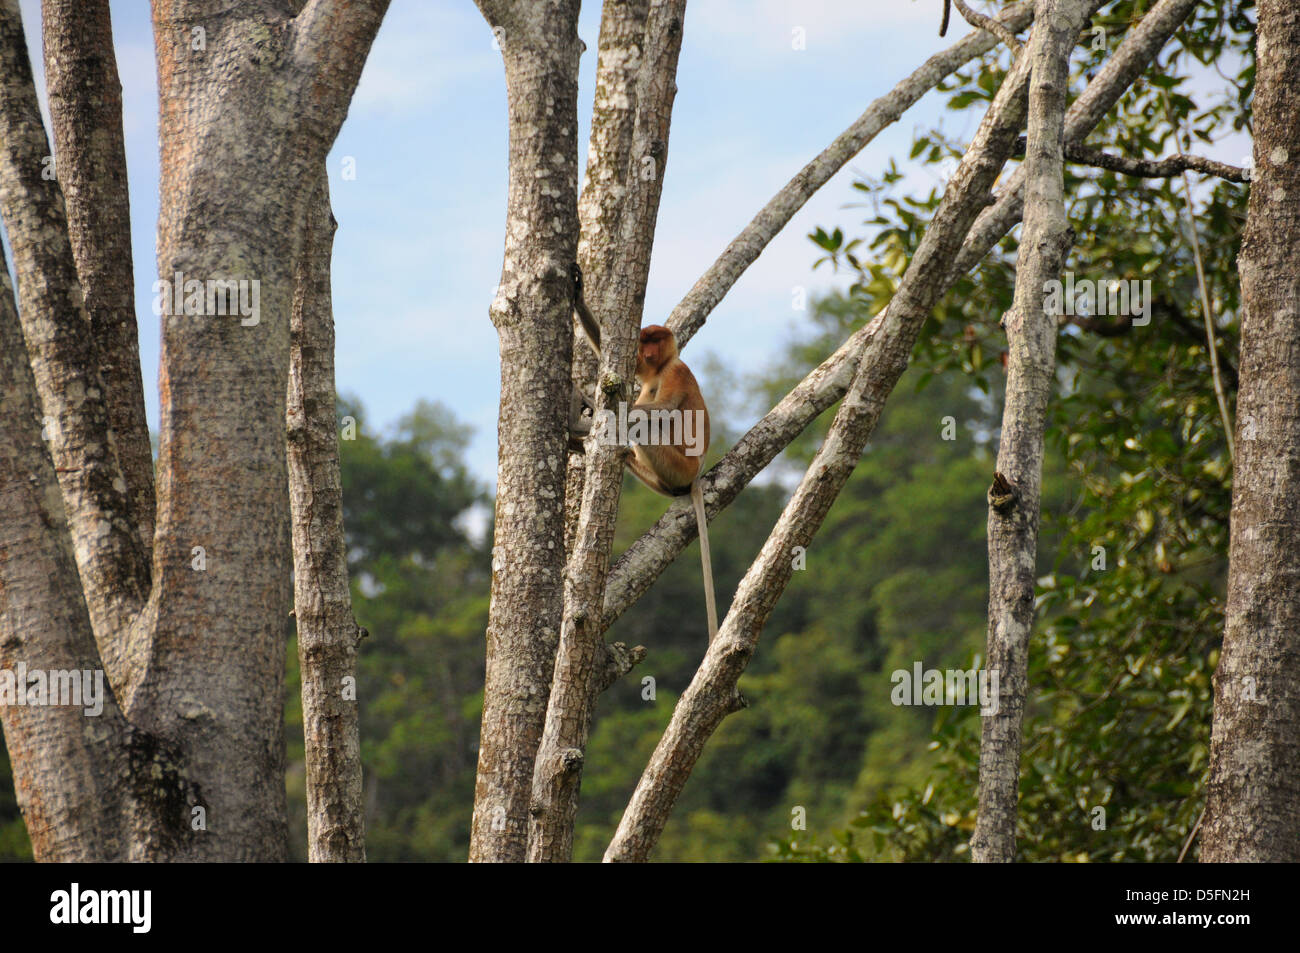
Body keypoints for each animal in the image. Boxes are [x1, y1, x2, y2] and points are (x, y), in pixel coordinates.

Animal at [568, 263, 718, 642]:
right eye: (644, 341)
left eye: (656, 339)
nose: (648, 351)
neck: (661, 366)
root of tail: (695, 475)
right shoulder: (645, 368)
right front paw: (577, 292)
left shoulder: (676, 371)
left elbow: (661, 409)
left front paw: (592, 411)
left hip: (679, 464)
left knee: (647, 425)